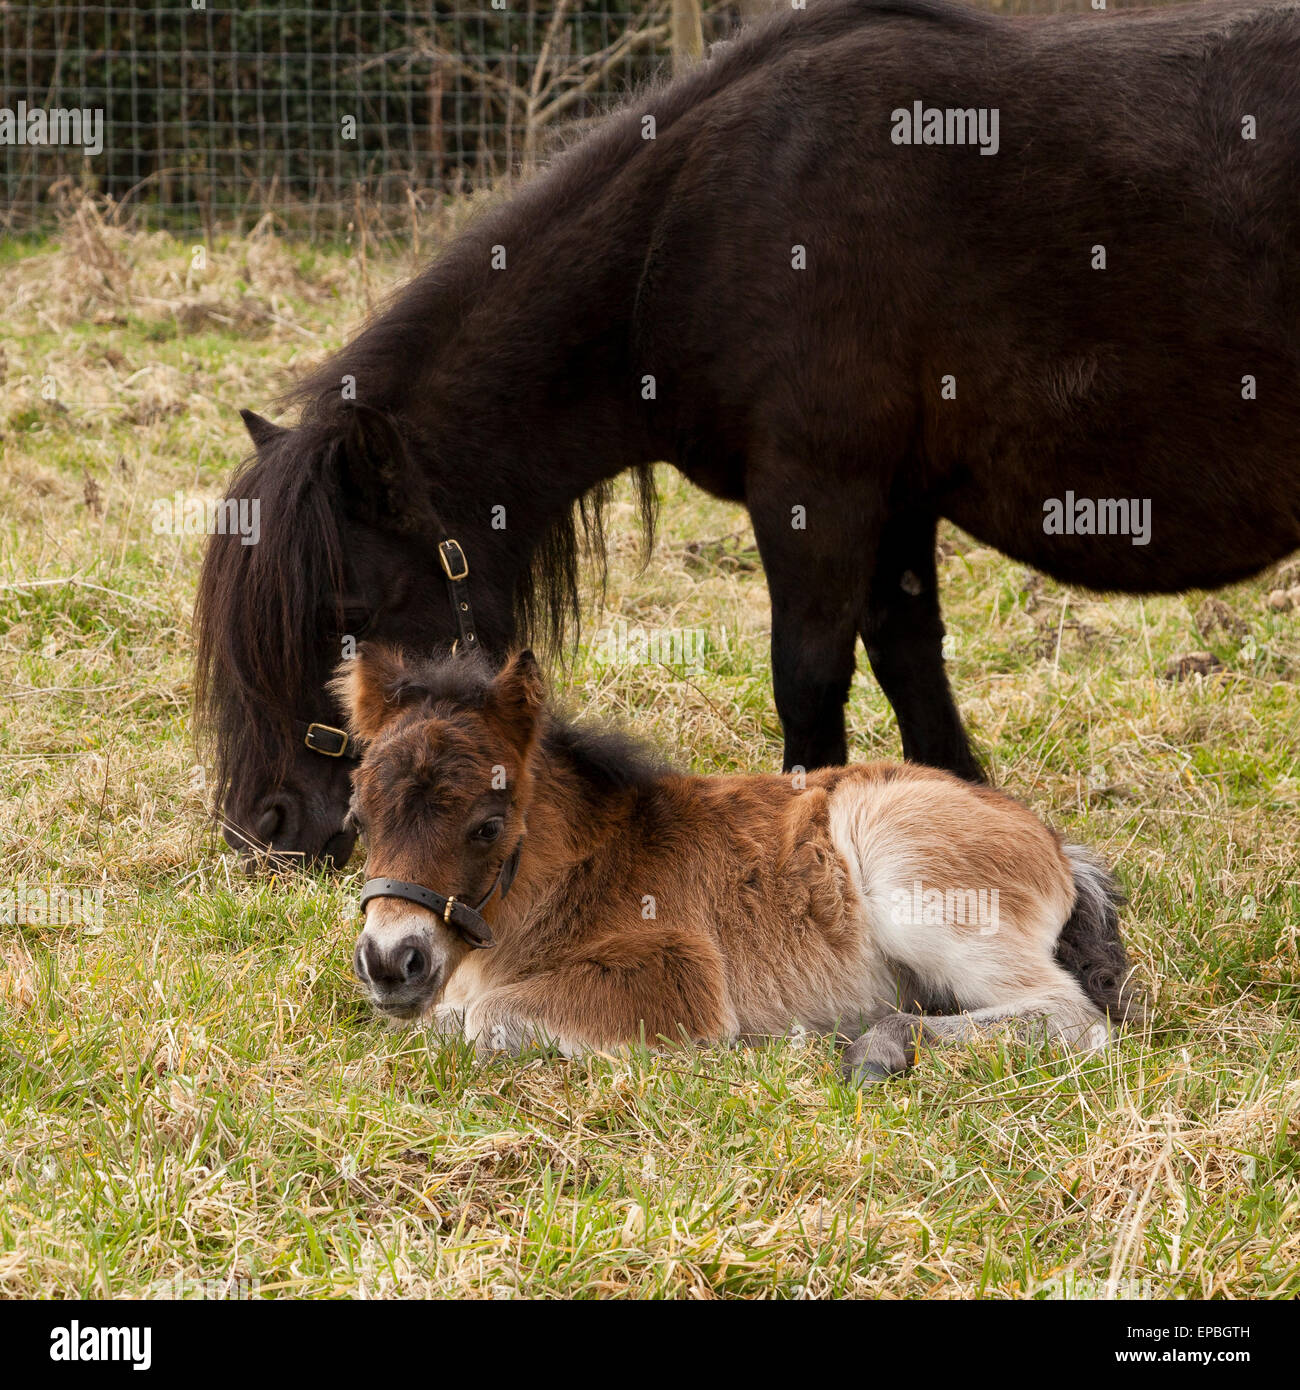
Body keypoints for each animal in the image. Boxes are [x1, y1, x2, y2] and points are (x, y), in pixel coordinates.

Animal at [196, 0, 1300, 867]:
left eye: (346, 610)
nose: (265, 830)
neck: (704, 219)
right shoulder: (893, 503)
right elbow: (912, 666)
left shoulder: (818, 493)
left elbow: (808, 683)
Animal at [336, 644, 1134, 1081]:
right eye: (359, 818)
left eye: (488, 825)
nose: (390, 962)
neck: (582, 870)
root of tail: (1055, 846)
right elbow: (448, 1017)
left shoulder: (677, 977)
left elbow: (484, 1020)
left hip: (911, 872)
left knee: (1073, 1017)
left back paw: (868, 1044)